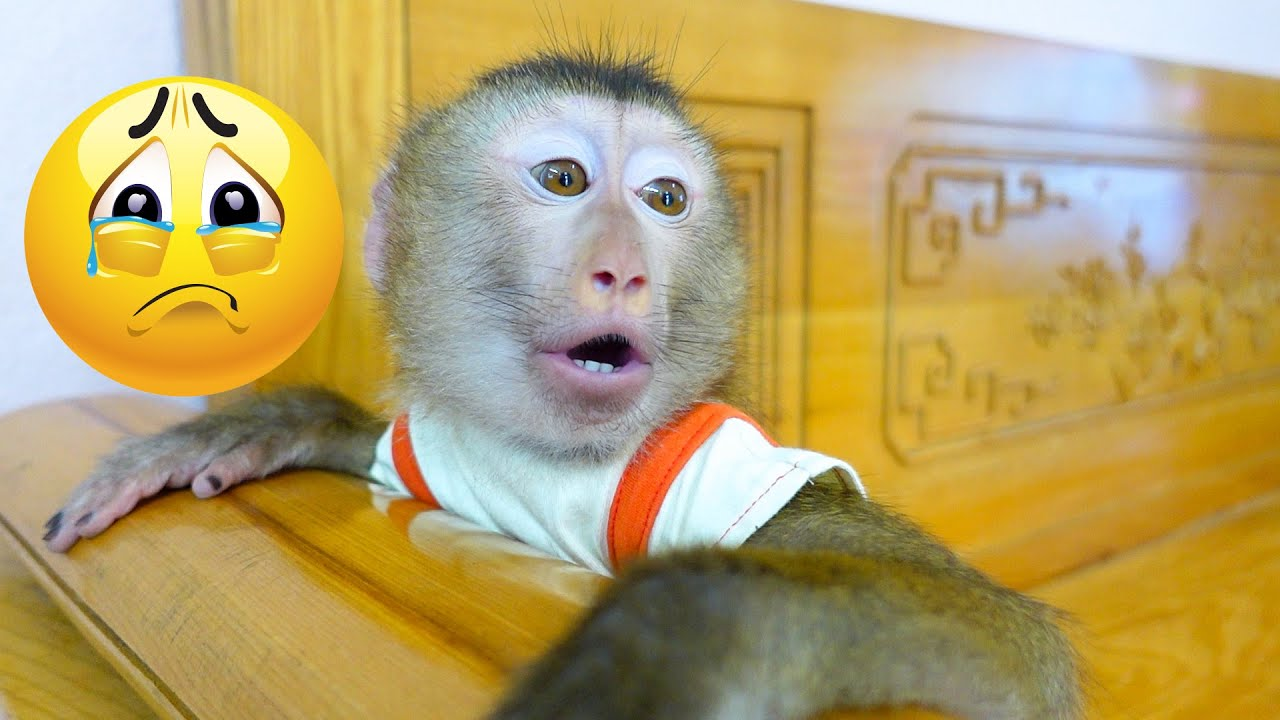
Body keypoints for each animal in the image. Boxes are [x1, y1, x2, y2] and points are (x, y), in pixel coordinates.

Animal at [42, 48, 1081, 720]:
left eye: (664, 200)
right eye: (565, 178)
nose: (625, 269)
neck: (551, 460)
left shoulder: (719, 463)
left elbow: (1017, 651)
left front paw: (653, 654)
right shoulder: (443, 453)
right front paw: (271, 424)